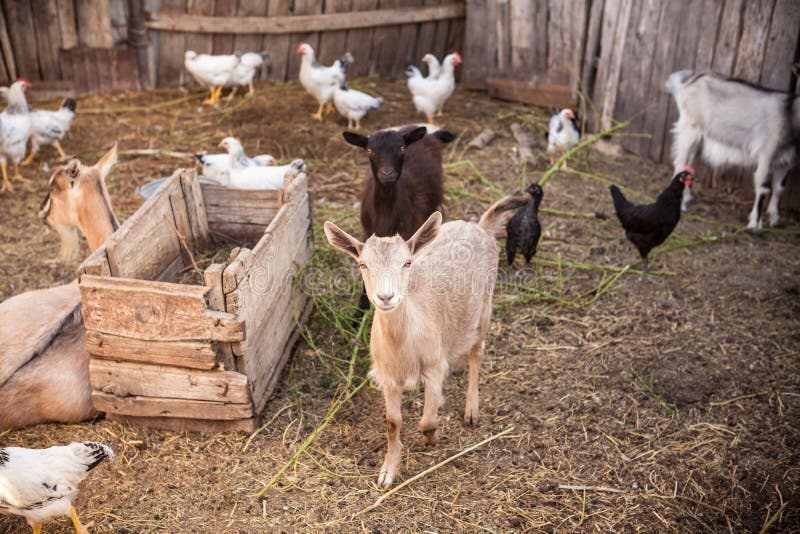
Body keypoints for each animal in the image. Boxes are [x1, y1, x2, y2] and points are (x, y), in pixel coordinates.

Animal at [324, 194, 527, 487]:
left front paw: (432, 438)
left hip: (485, 309)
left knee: (478, 352)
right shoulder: (387, 376)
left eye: (407, 262)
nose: (386, 297)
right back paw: (457, 366)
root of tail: (480, 226)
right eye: (363, 264)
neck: (403, 346)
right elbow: (392, 422)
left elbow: (427, 420)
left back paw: (471, 410)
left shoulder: (432, 367)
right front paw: (388, 471)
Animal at [344, 124, 454, 309]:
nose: (387, 173)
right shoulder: (367, 233)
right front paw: (360, 310)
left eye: (402, 148)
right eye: (369, 150)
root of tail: (430, 134)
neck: (384, 217)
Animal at [666, 70, 799, 230]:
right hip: (690, 128)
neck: (790, 115)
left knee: (688, 165)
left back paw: (686, 198)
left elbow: (779, 188)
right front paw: (754, 225)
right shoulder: (767, 154)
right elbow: (763, 188)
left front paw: (775, 220)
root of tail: (688, 84)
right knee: (680, 163)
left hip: (698, 138)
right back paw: (681, 205)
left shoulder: (785, 162)